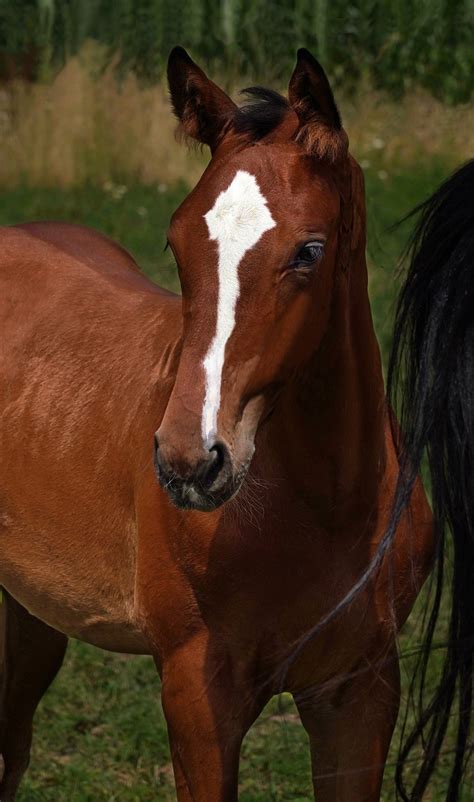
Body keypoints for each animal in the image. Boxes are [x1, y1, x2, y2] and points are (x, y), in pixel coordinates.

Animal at [0, 47, 433, 801]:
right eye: (176, 241)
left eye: (309, 251)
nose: (189, 462)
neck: (328, 507)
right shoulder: (199, 696)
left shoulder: (361, 689)